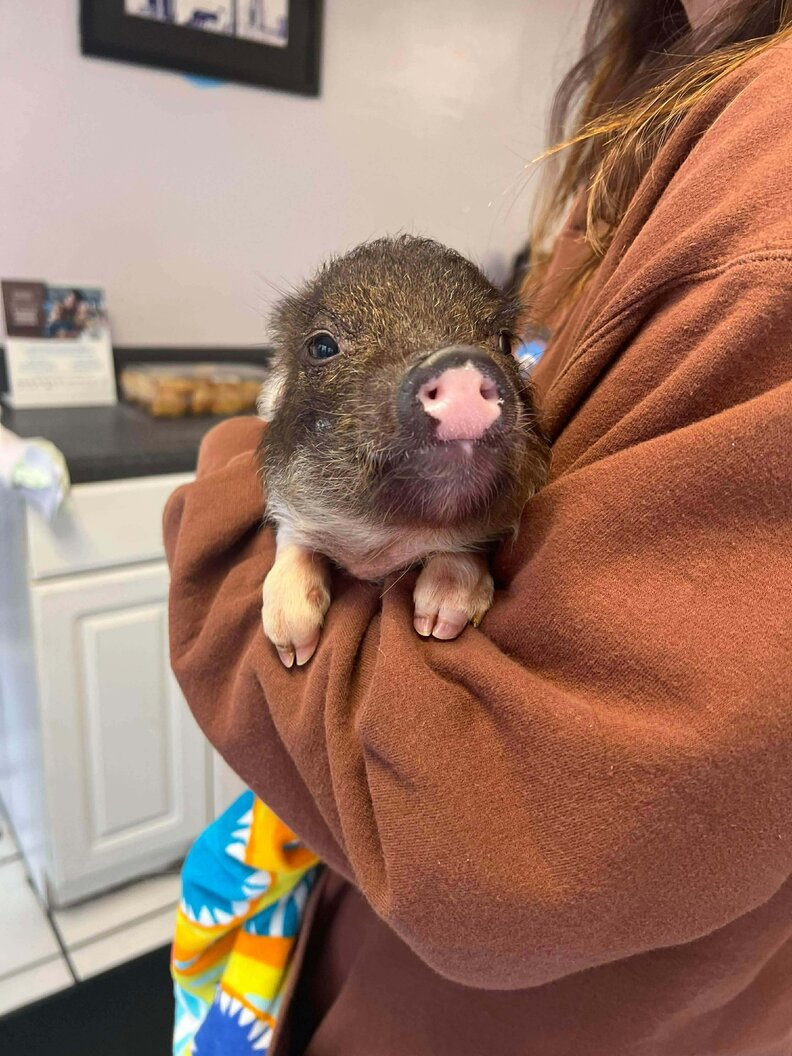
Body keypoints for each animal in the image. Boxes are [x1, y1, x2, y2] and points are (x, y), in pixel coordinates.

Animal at [258, 236, 549, 668]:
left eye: (504, 341)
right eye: (322, 345)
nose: (458, 362)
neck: (380, 547)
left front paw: (436, 628)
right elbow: (292, 539)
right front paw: (294, 653)